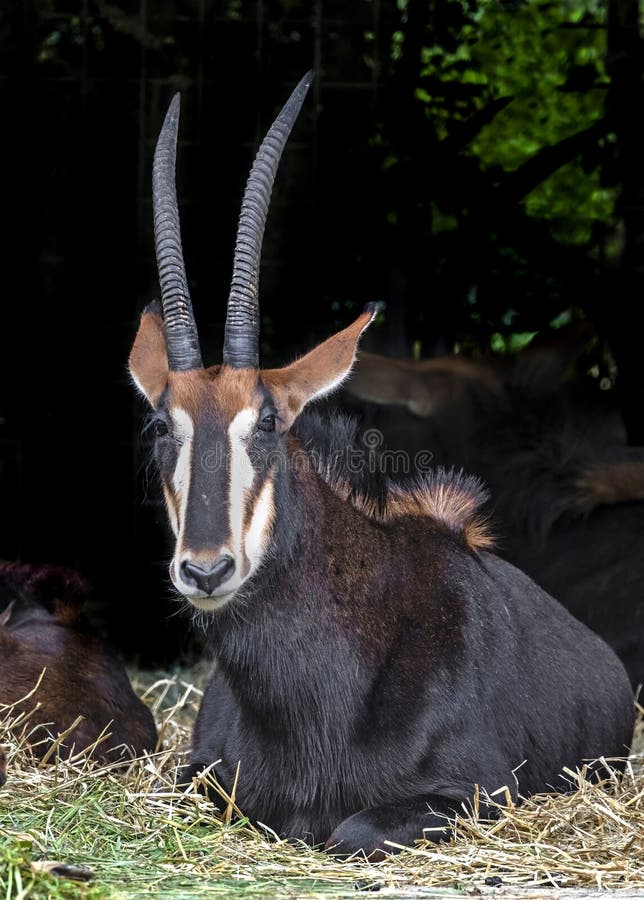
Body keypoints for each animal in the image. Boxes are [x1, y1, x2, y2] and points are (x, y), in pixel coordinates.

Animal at [129, 73, 635, 859]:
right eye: (161, 425)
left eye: (268, 422)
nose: (206, 570)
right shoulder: (197, 775)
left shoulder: (474, 791)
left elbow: (349, 827)